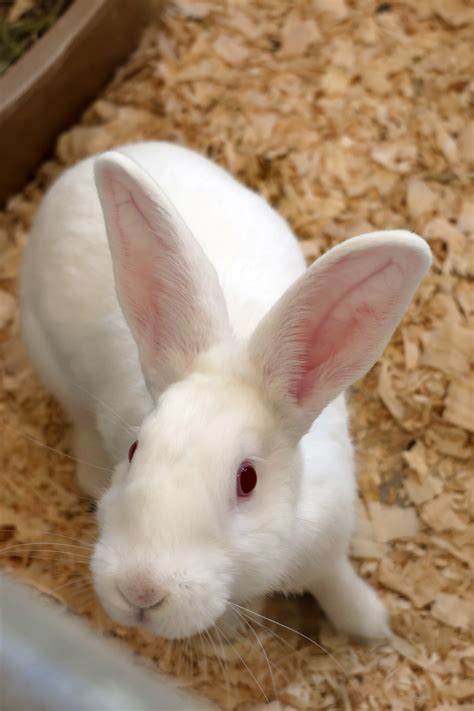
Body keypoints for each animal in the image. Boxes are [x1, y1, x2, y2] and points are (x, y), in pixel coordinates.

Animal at [19, 141, 431, 641]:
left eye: (247, 479)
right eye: (135, 449)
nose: (141, 590)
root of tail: (84, 165)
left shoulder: (329, 543)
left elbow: (336, 581)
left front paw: (371, 626)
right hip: (47, 354)